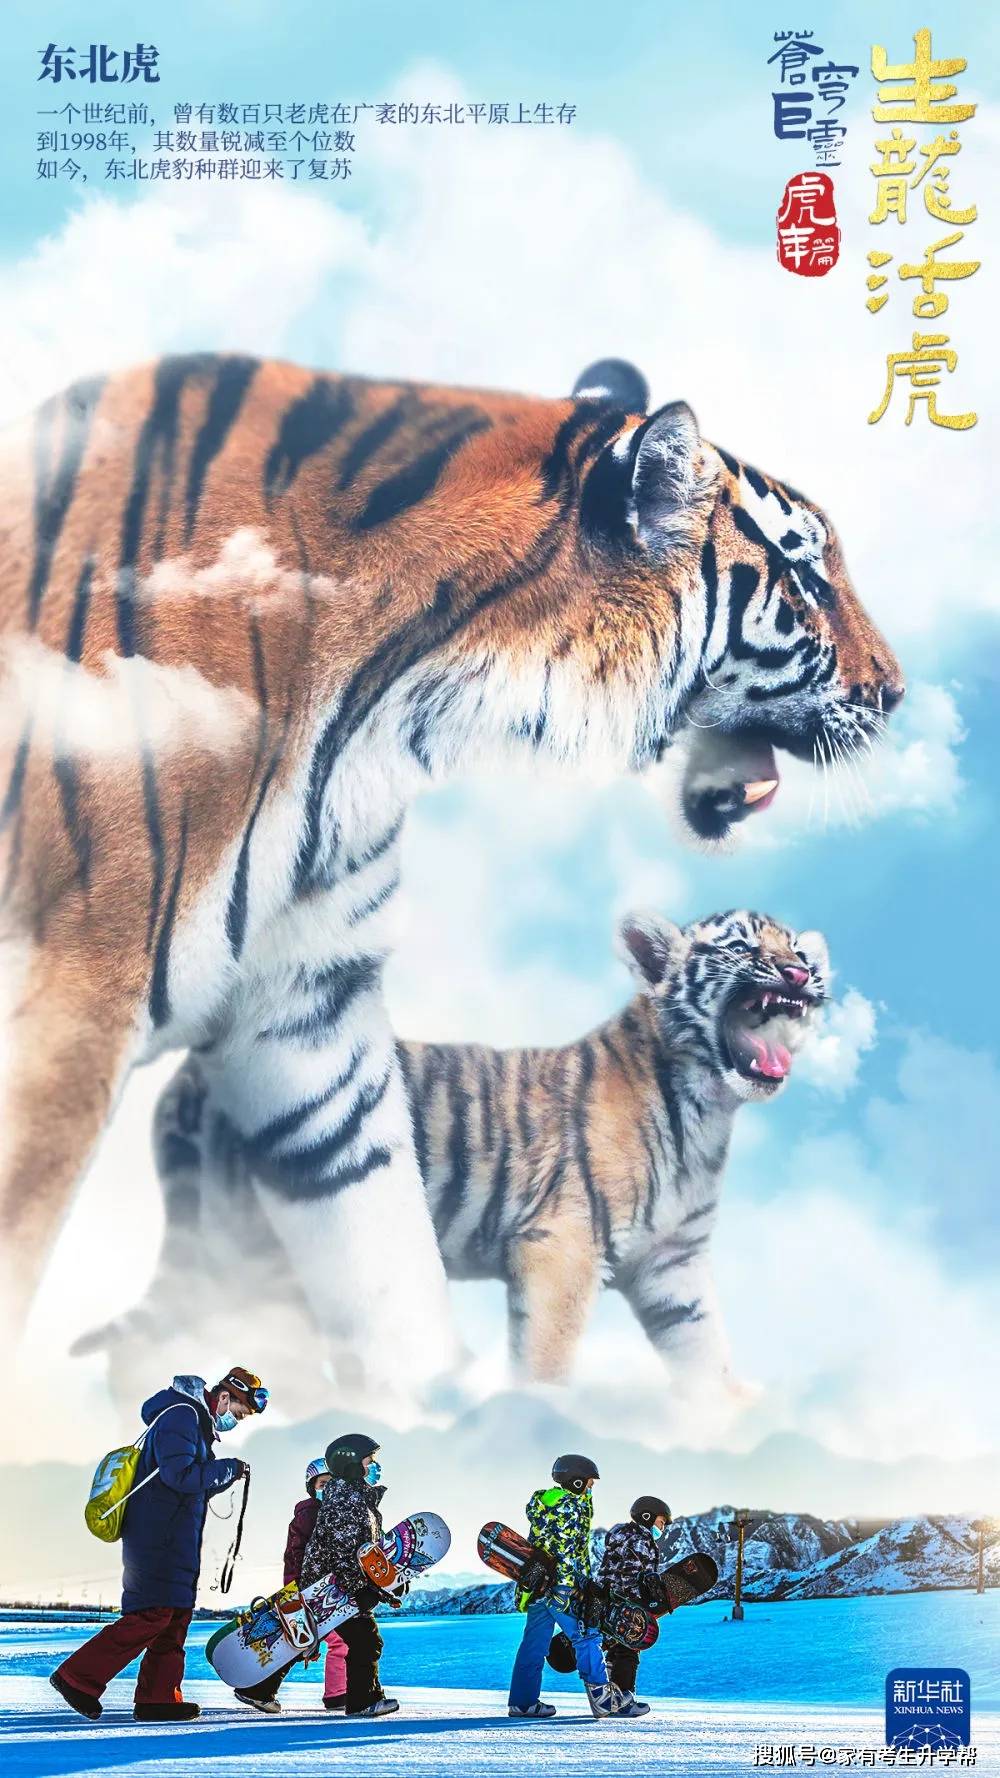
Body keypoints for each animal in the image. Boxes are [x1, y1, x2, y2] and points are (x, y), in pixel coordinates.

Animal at [79, 906, 828, 1406]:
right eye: (743, 944)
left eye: (795, 945)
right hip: (255, 1247)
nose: (802, 969)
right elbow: (548, 1356)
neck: (709, 1111)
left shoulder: (674, 1262)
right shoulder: (562, 1243)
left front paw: (730, 1419)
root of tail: (186, 1077)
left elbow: (704, 1347)